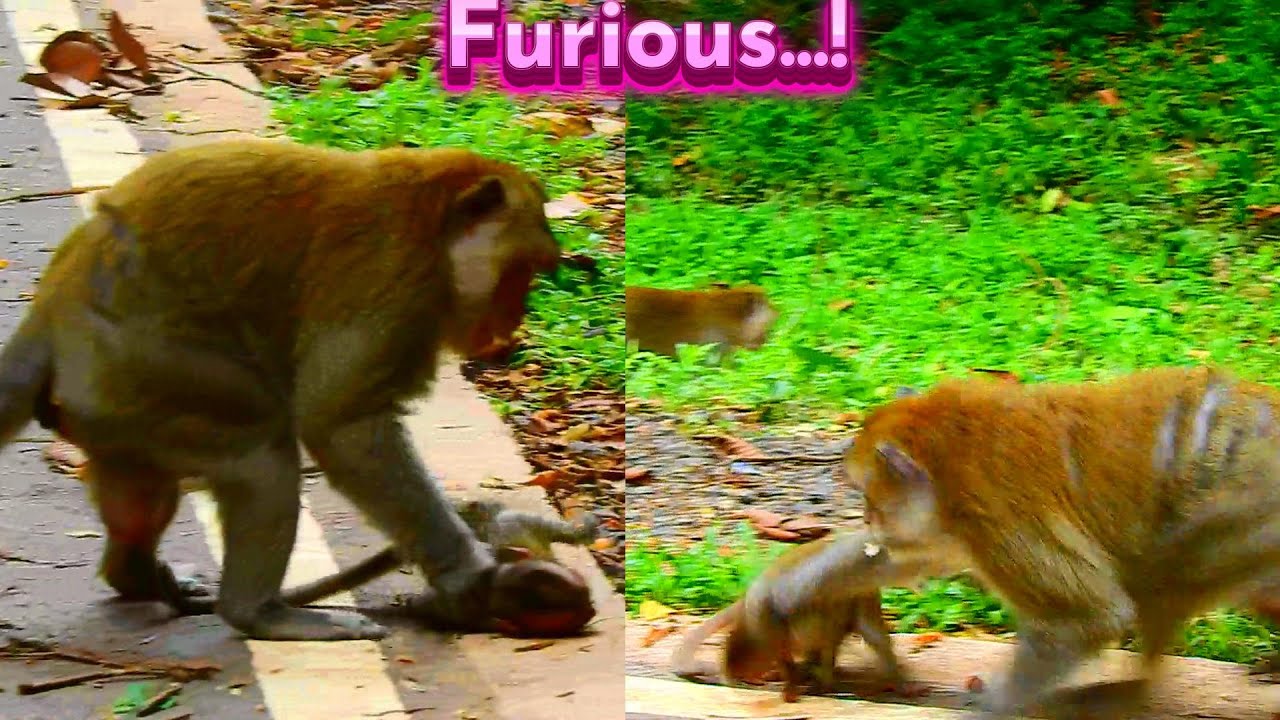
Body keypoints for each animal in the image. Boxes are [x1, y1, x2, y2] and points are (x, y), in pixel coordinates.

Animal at [808, 366, 1280, 719]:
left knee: (1171, 568)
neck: (959, 449)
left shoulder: (997, 523)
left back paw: (1133, 689)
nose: (869, 520)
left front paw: (996, 704)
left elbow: (1086, 617)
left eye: (871, 497)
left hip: (1244, 513)